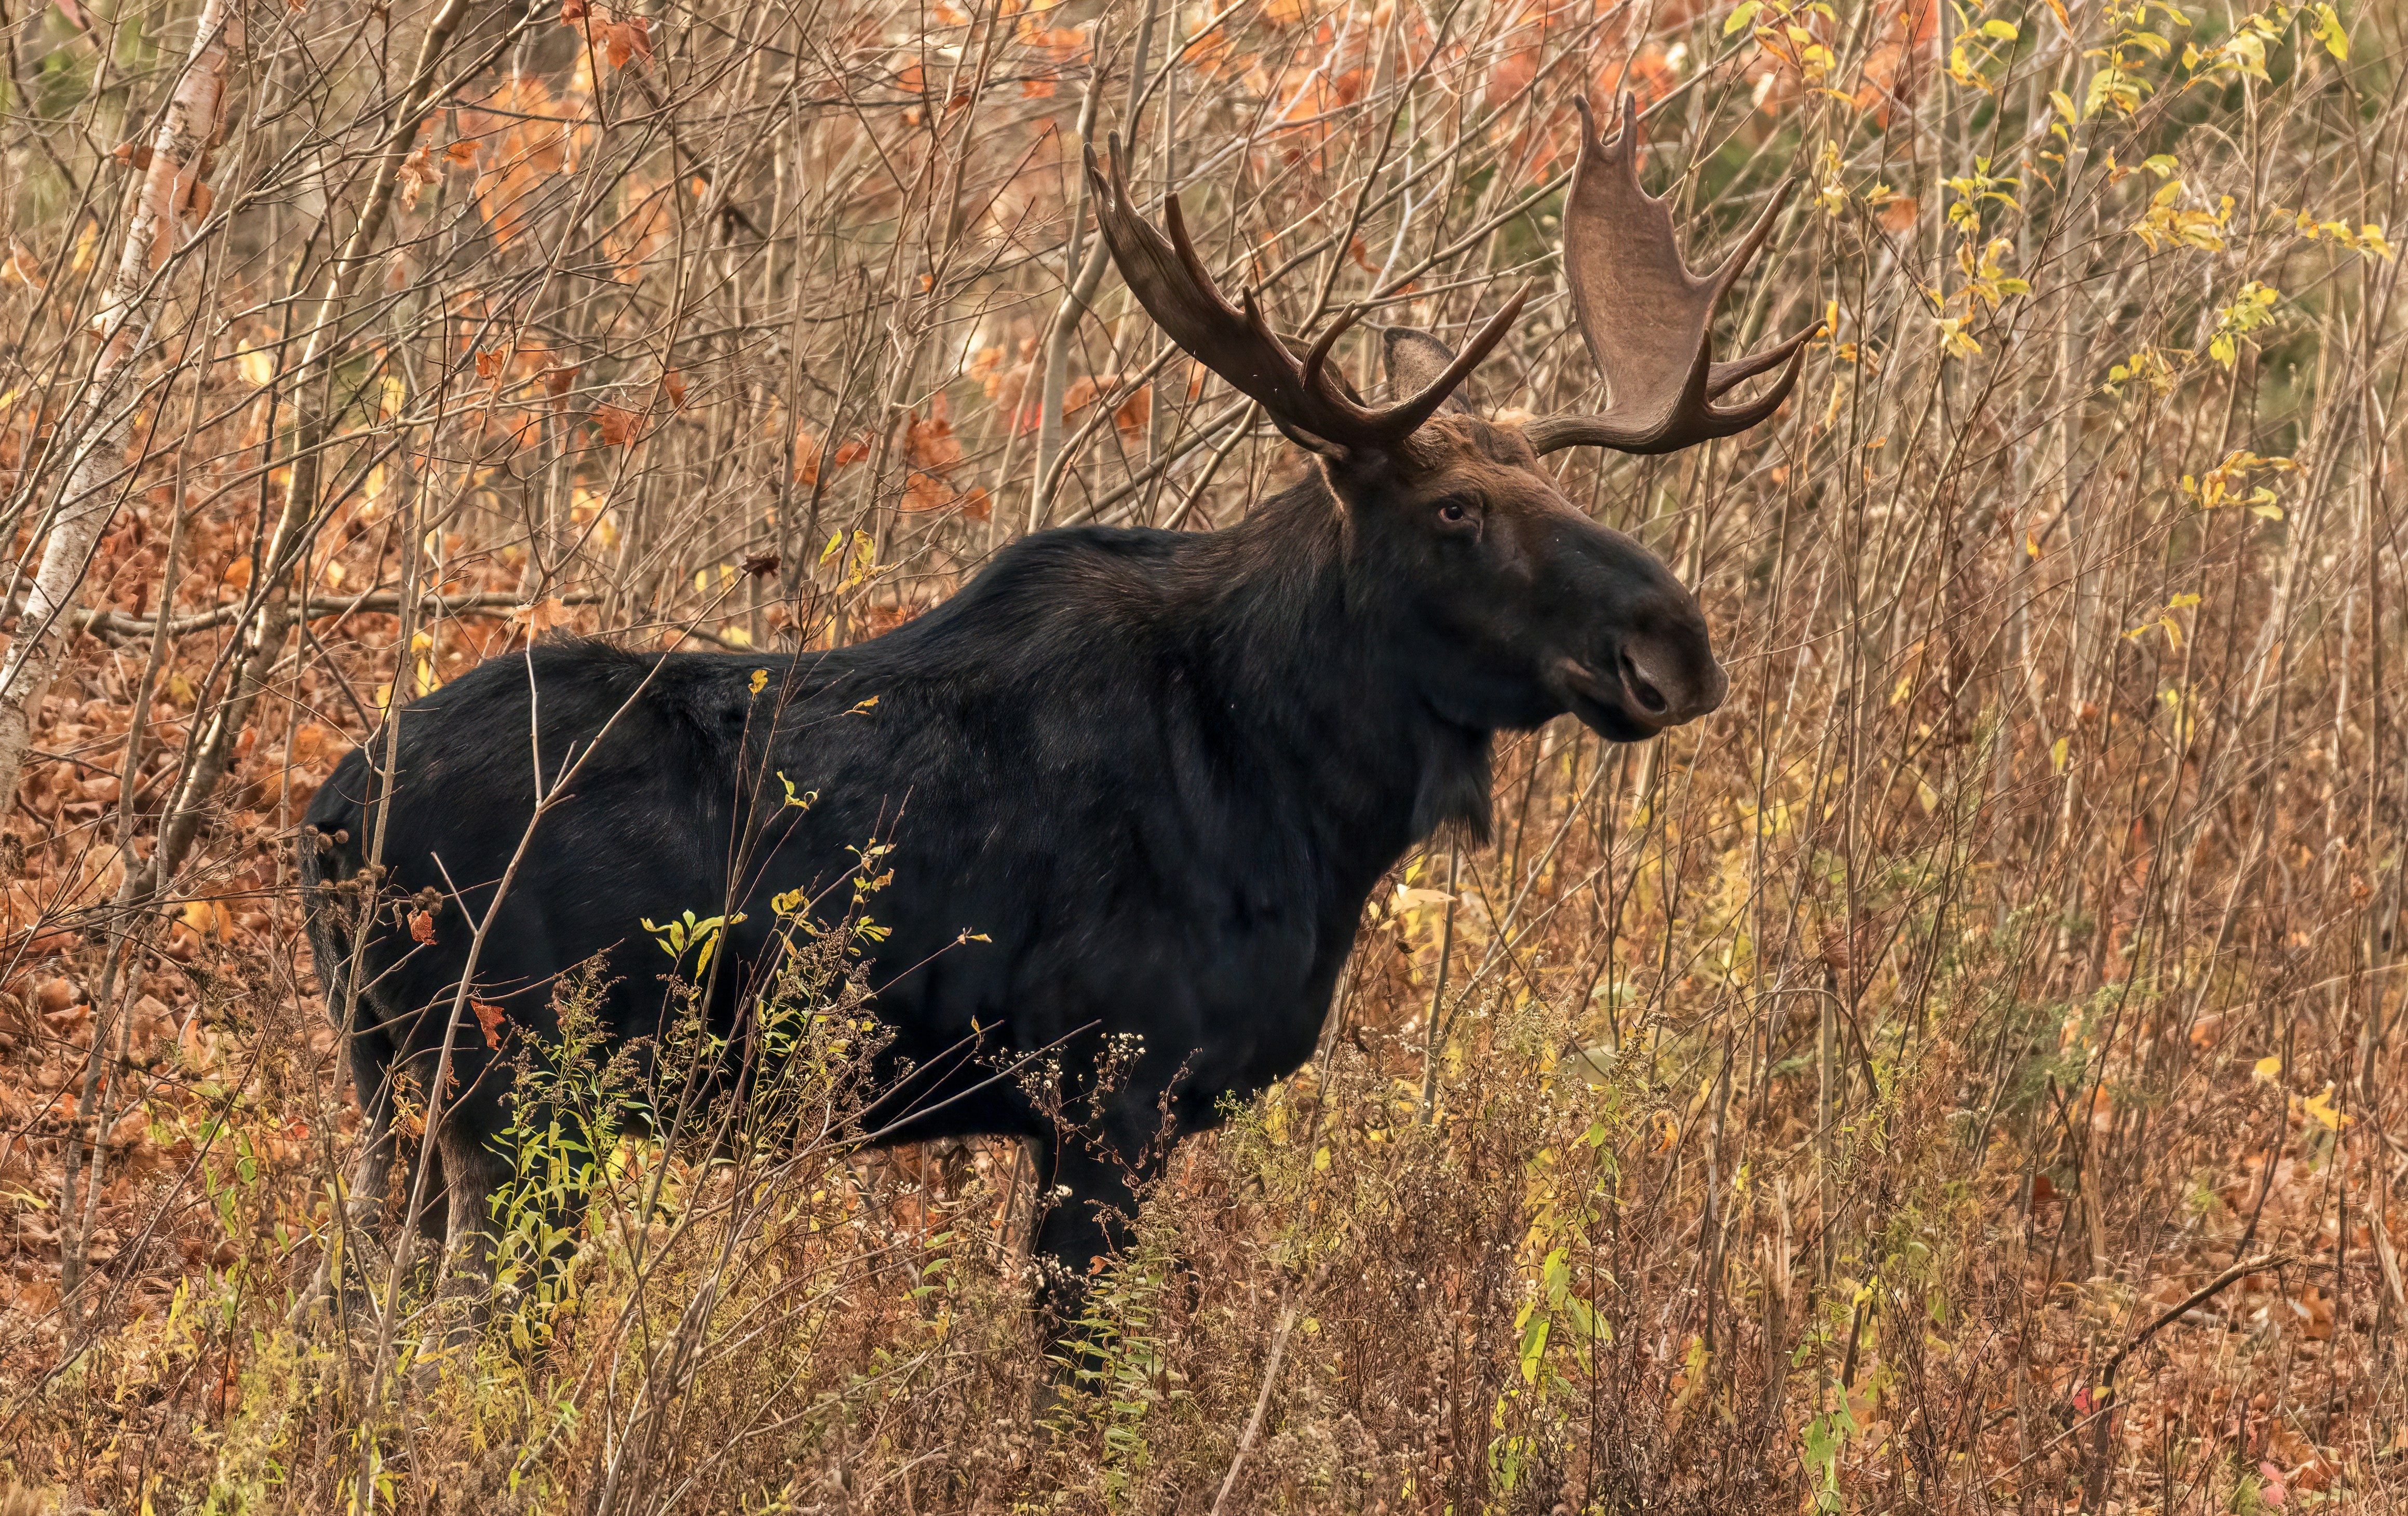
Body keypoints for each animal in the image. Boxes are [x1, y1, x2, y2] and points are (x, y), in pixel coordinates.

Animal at [299, 95, 1813, 1336]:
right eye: (1454, 511)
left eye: (1560, 492)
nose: (1673, 648)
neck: (1307, 805)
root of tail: (323, 820)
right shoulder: (1106, 1093)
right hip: (516, 1095)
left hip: (396, 1097)